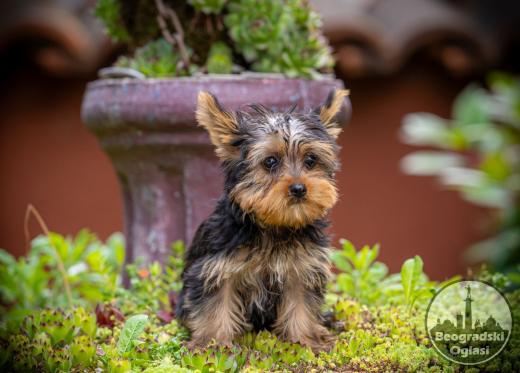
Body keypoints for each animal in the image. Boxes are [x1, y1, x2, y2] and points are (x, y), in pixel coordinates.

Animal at [178, 88, 350, 350]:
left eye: (311, 160)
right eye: (270, 161)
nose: (299, 188)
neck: (275, 225)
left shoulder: (303, 269)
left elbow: (301, 304)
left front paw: (305, 339)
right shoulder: (215, 268)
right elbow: (215, 305)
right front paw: (212, 344)